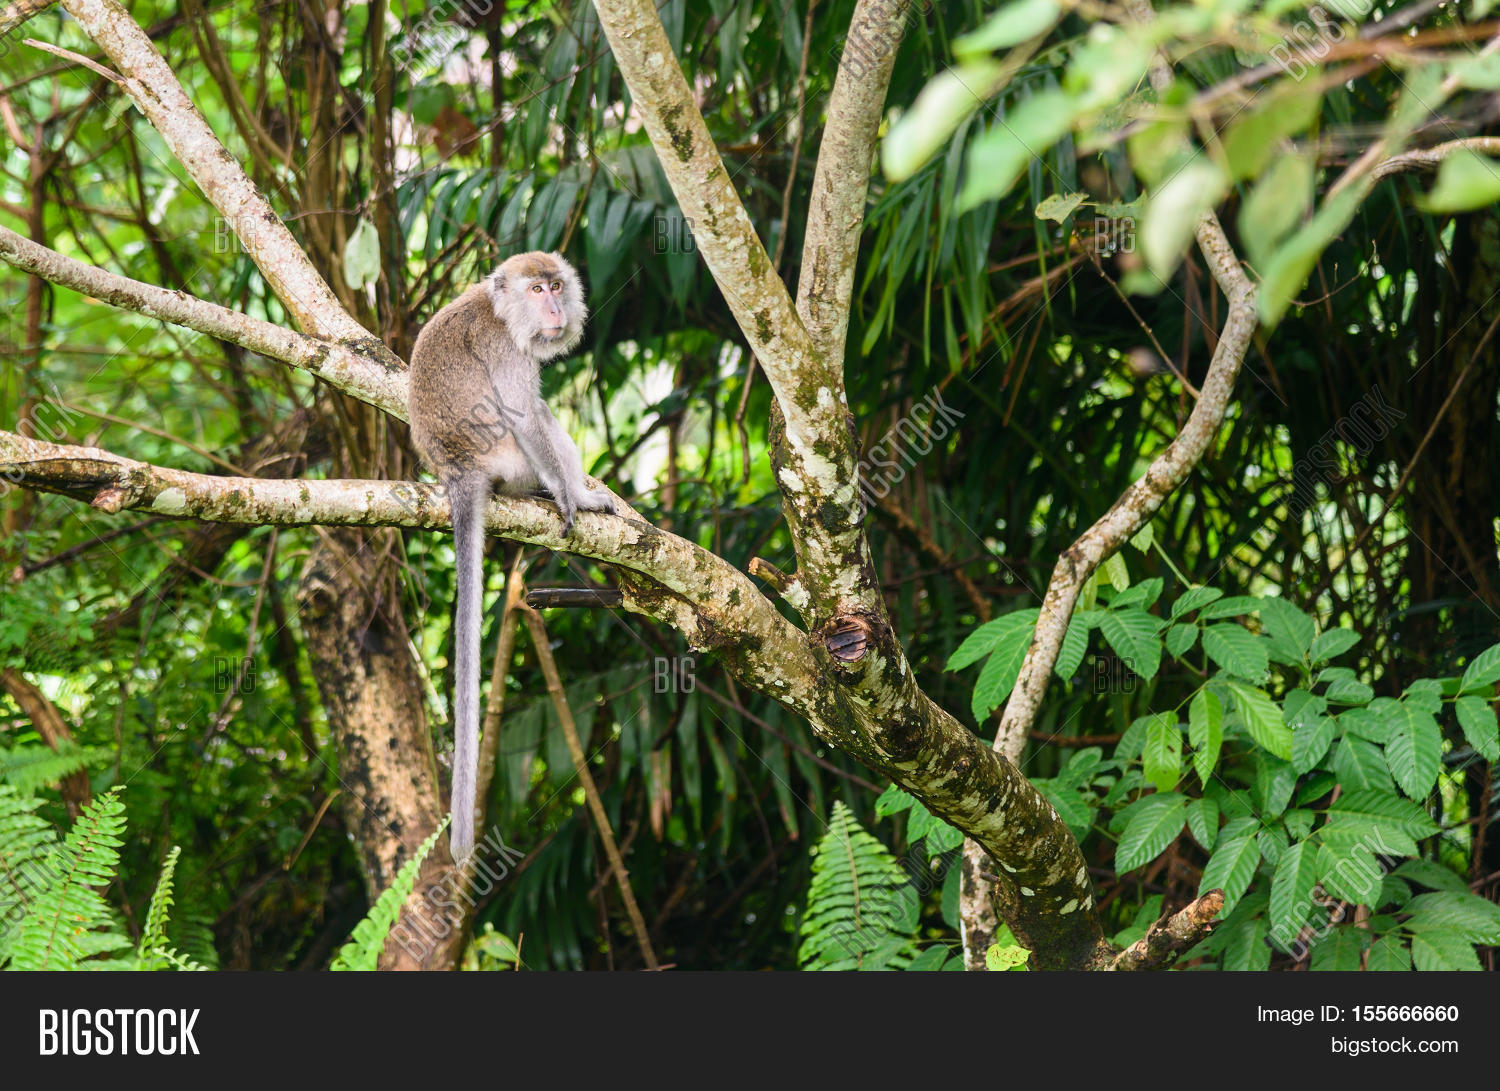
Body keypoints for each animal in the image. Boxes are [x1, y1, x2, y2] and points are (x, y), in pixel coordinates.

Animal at [407, 250, 616, 863]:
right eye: (537, 290)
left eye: (556, 286)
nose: (554, 308)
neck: (501, 310)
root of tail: (458, 470)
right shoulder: (507, 351)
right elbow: (526, 414)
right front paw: (572, 496)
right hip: (508, 460)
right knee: (539, 416)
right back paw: (576, 493)